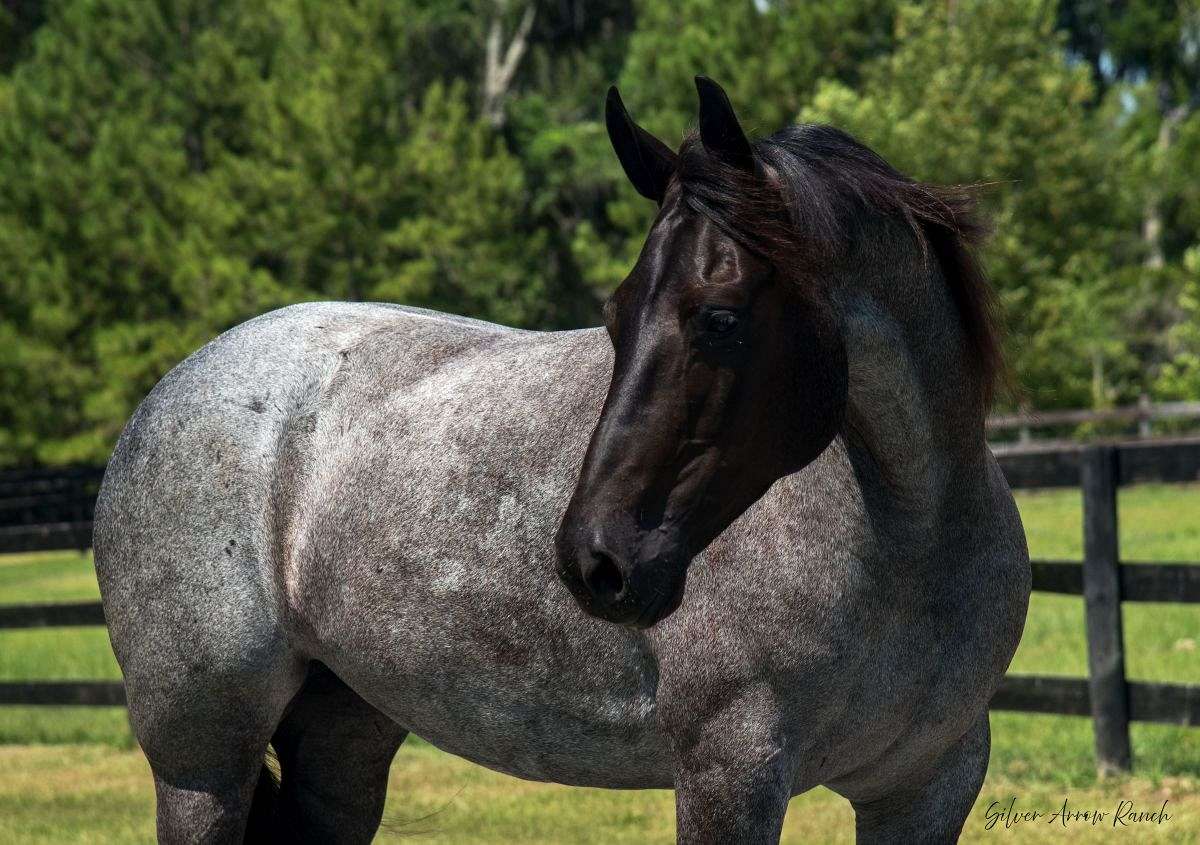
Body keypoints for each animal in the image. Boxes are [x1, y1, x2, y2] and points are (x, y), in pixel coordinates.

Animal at [93, 76, 1030, 843]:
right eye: (615, 314)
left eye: (721, 317)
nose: (597, 561)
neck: (912, 538)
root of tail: (171, 389)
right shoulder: (731, 771)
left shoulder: (929, 787)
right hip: (202, 763)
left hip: (343, 736)